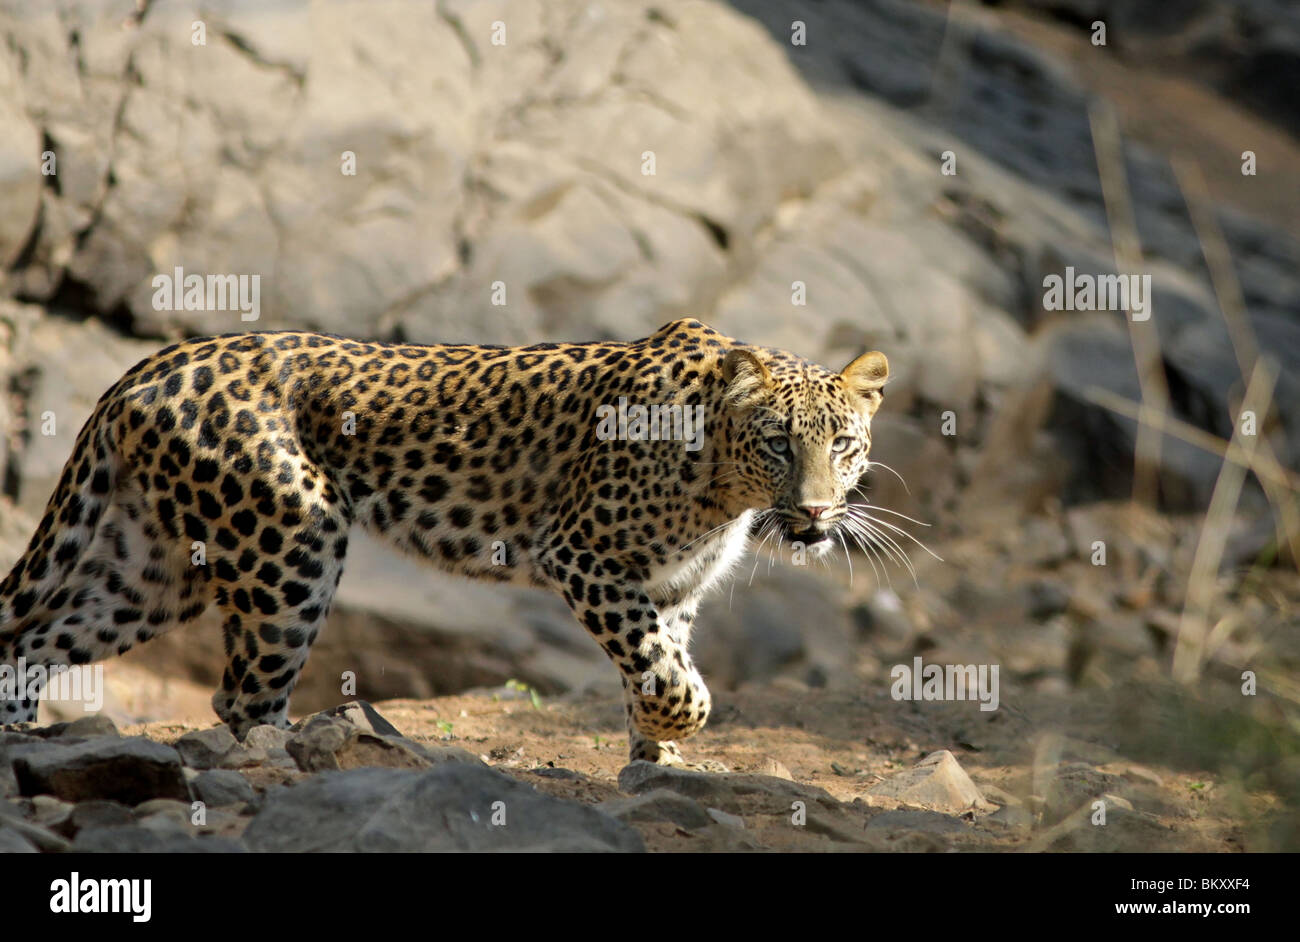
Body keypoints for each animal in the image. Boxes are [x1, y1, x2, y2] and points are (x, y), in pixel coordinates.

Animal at [0, 317, 888, 766]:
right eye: (778, 442)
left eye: (843, 443)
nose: (816, 512)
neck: (724, 488)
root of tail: (150, 365)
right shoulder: (586, 557)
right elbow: (676, 681)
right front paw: (668, 729)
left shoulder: (673, 586)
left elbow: (662, 662)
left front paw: (654, 760)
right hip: (290, 540)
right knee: (240, 696)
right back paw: (298, 754)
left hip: (151, 565)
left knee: (32, 639)